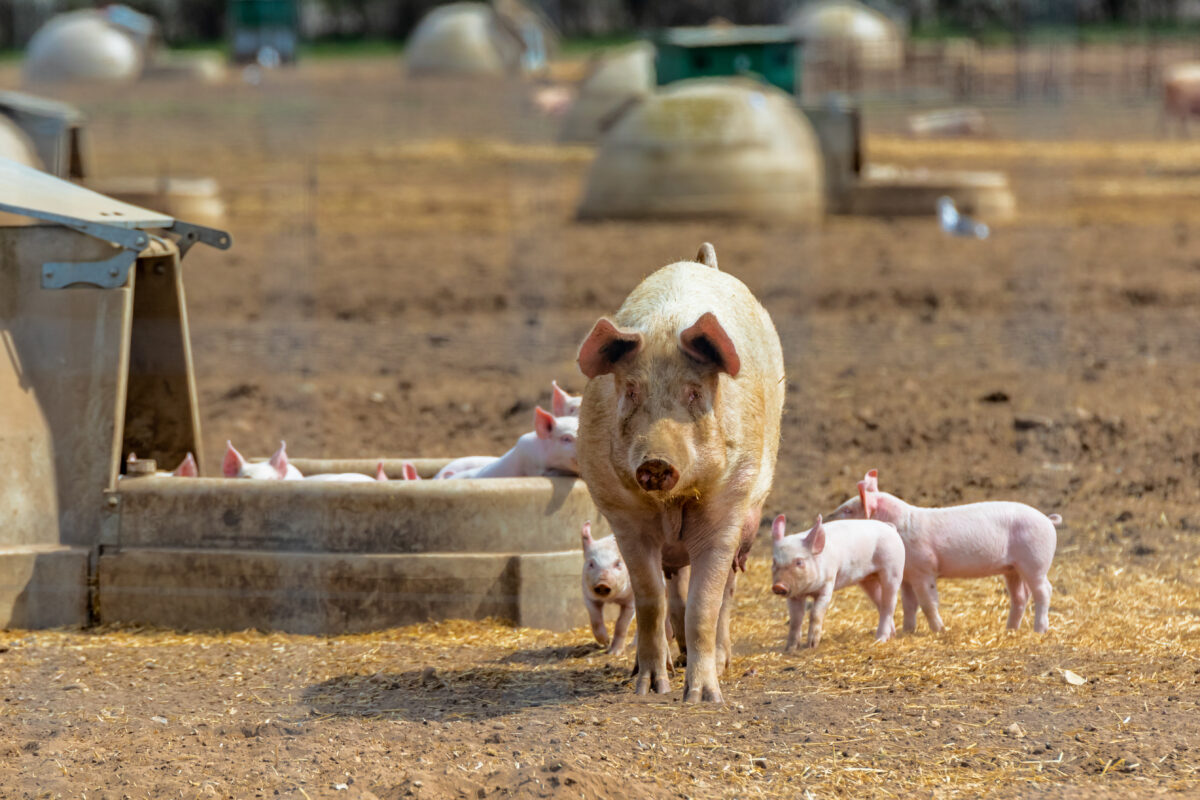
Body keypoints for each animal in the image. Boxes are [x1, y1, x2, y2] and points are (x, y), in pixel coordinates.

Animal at [580, 521, 634, 655]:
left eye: (618, 563)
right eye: (591, 564)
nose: (602, 584)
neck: (613, 599)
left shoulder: (632, 600)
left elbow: (621, 624)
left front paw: (614, 653)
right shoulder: (588, 596)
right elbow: (595, 620)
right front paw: (605, 642)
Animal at [771, 513, 905, 650]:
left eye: (799, 562)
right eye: (774, 562)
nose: (778, 586)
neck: (809, 590)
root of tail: (890, 527)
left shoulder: (828, 584)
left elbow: (815, 613)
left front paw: (811, 646)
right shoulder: (795, 595)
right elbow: (795, 619)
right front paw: (789, 649)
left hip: (894, 570)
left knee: (889, 604)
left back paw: (880, 639)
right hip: (868, 580)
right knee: (880, 603)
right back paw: (891, 635)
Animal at [827, 469, 1062, 634]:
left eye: (848, 510)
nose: (826, 517)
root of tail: (1048, 519)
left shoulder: (924, 569)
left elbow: (928, 602)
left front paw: (939, 631)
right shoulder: (907, 575)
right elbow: (909, 604)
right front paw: (907, 631)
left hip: (1035, 561)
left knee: (1045, 590)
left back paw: (1039, 630)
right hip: (1012, 569)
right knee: (1020, 596)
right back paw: (1010, 629)